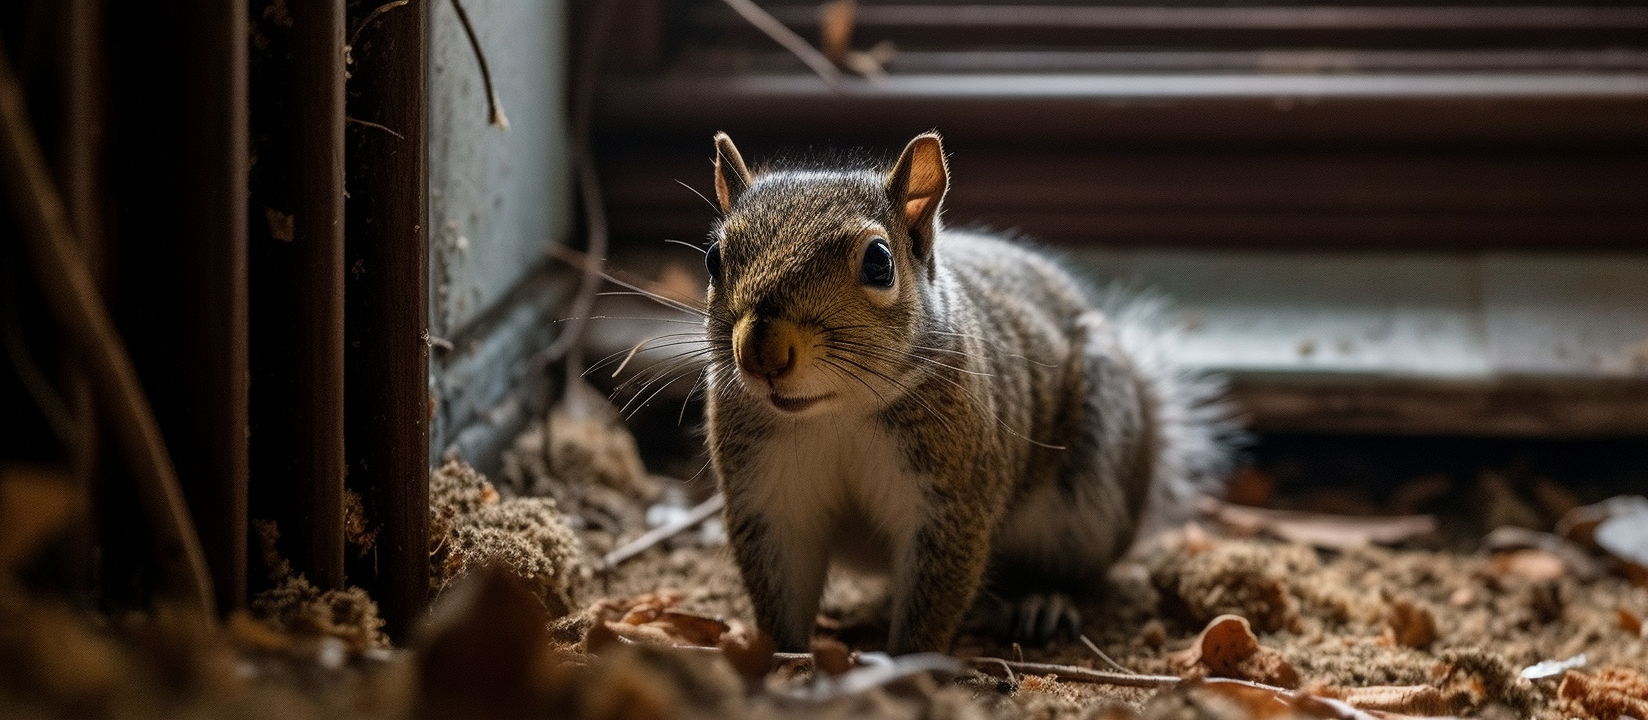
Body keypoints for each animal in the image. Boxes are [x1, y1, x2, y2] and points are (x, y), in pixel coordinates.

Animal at [699, 131, 1233, 655]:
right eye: (713, 258)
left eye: (878, 262)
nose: (762, 352)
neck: (836, 413)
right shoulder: (769, 497)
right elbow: (782, 590)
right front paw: (782, 662)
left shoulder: (952, 499)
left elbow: (933, 595)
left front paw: (905, 665)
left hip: (1089, 494)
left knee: (1074, 570)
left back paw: (1042, 601)